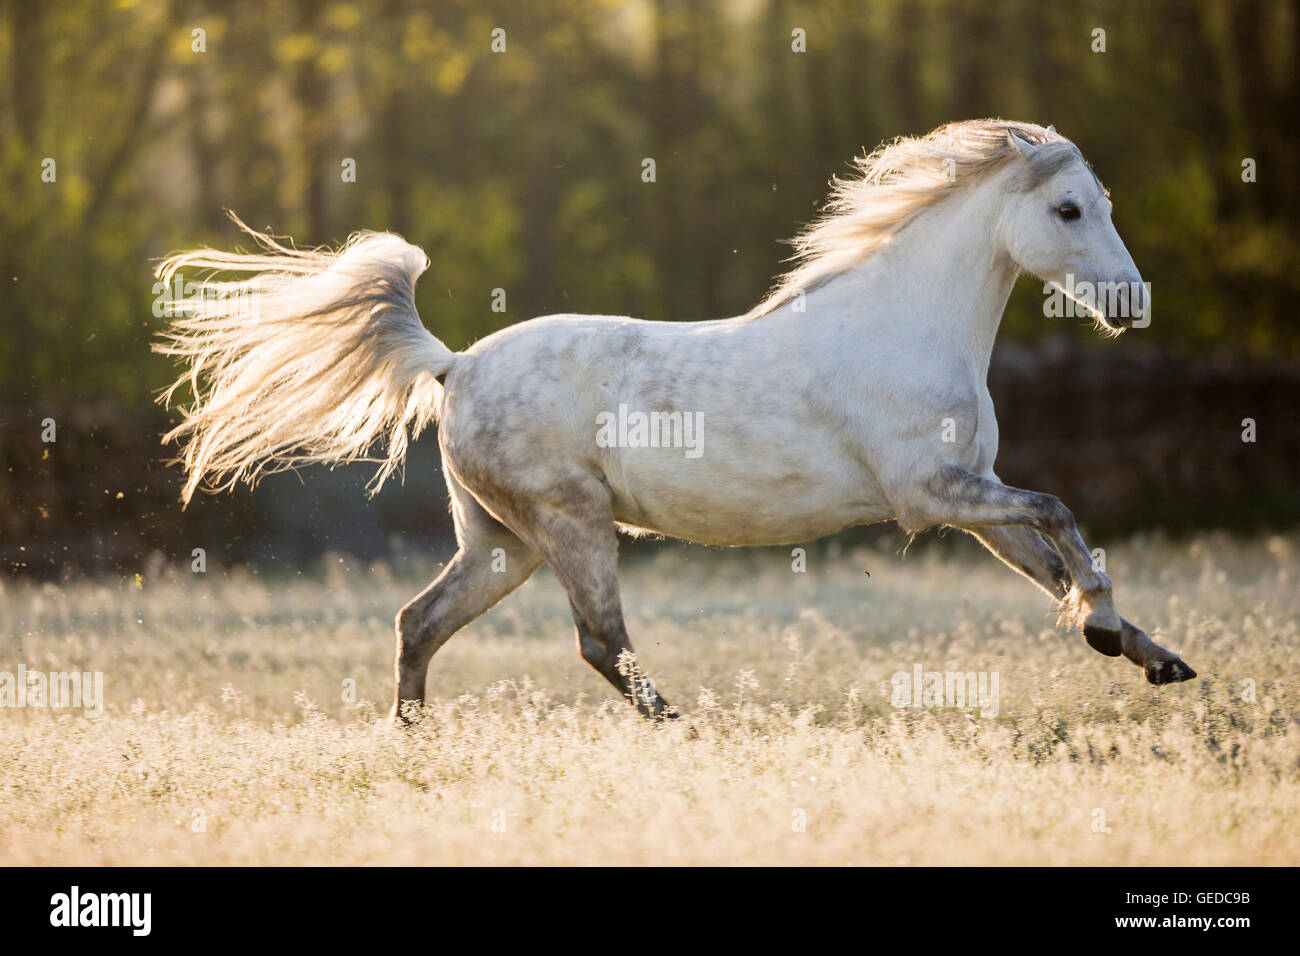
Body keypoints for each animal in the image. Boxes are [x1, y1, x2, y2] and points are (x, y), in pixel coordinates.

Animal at [153, 119, 1196, 725]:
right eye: (1069, 208)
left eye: (1103, 202)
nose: (1131, 303)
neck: (906, 325)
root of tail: (452, 365)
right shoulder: (935, 497)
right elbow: (1061, 513)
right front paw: (1108, 629)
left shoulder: (973, 508)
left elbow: (1056, 557)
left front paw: (1149, 656)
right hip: (571, 523)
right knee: (596, 641)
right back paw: (682, 724)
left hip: (503, 542)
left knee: (421, 621)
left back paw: (414, 744)